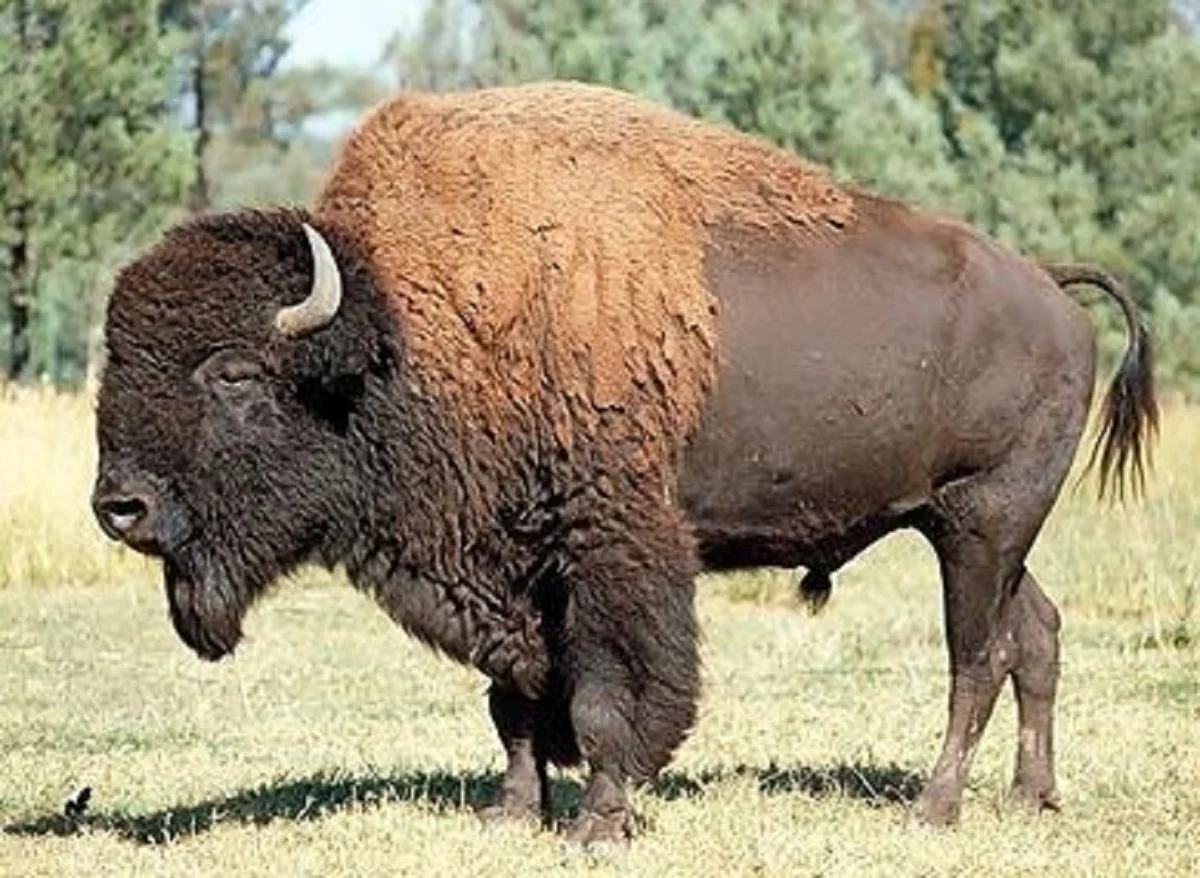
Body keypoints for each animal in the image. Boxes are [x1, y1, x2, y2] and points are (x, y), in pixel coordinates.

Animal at [91, 82, 1156, 843]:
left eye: (233, 372)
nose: (119, 506)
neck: (407, 327)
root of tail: (1049, 285)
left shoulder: (611, 550)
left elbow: (608, 697)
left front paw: (602, 823)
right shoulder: (511, 563)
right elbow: (515, 699)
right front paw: (511, 813)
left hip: (981, 522)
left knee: (976, 659)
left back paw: (934, 810)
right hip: (973, 529)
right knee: (1036, 633)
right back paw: (1032, 797)